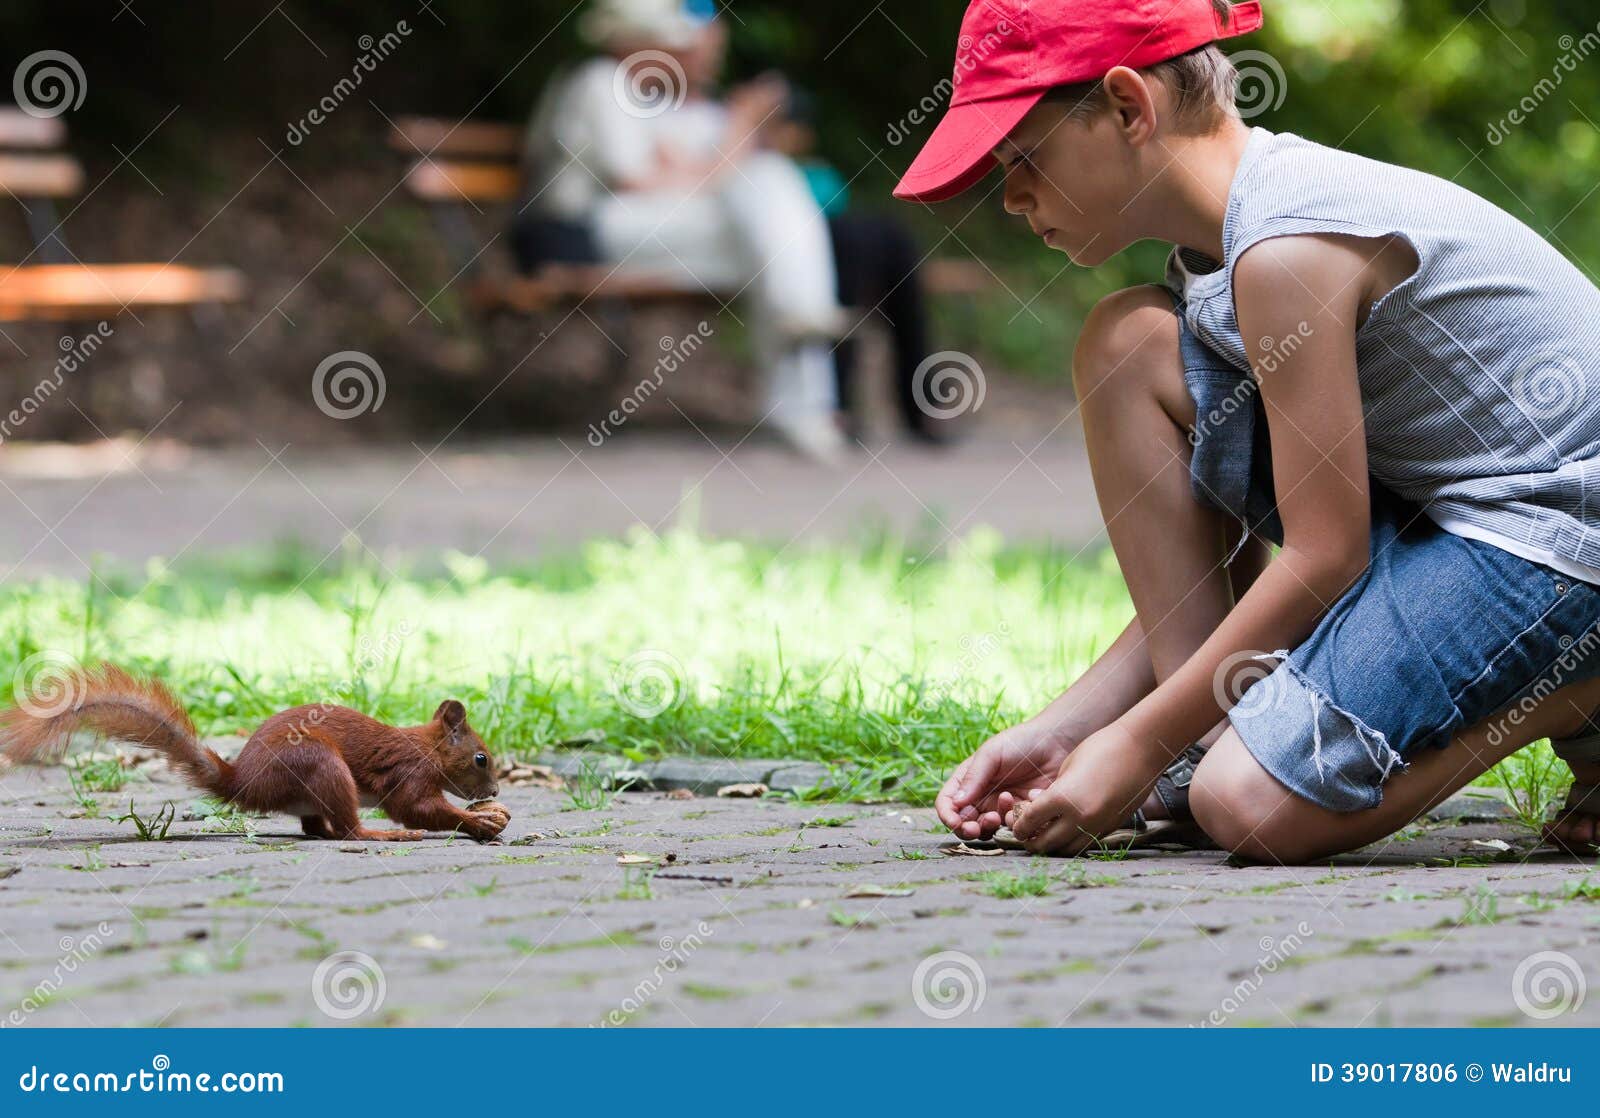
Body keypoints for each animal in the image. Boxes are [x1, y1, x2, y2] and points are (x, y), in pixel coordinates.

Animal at [0, 664, 510, 842]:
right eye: (481, 758)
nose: (495, 792)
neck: (427, 747)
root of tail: (244, 782)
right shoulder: (409, 773)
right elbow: (416, 808)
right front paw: (480, 821)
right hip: (321, 764)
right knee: (347, 831)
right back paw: (383, 836)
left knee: (316, 828)